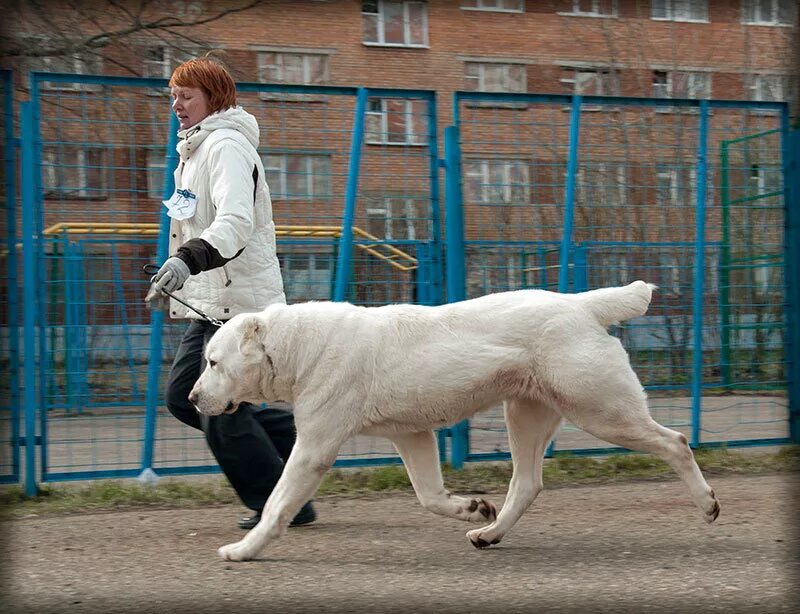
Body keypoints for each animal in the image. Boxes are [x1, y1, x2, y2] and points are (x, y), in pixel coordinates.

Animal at [191, 284, 720, 564]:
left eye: (214, 362)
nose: (193, 399)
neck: (297, 347)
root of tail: (583, 304)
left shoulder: (314, 448)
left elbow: (276, 504)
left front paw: (244, 549)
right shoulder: (411, 436)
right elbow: (428, 495)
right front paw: (472, 508)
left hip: (601, 411)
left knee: (676, 442)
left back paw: (708, 504)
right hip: (526, 416)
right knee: (527, 484)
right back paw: (489, 533)